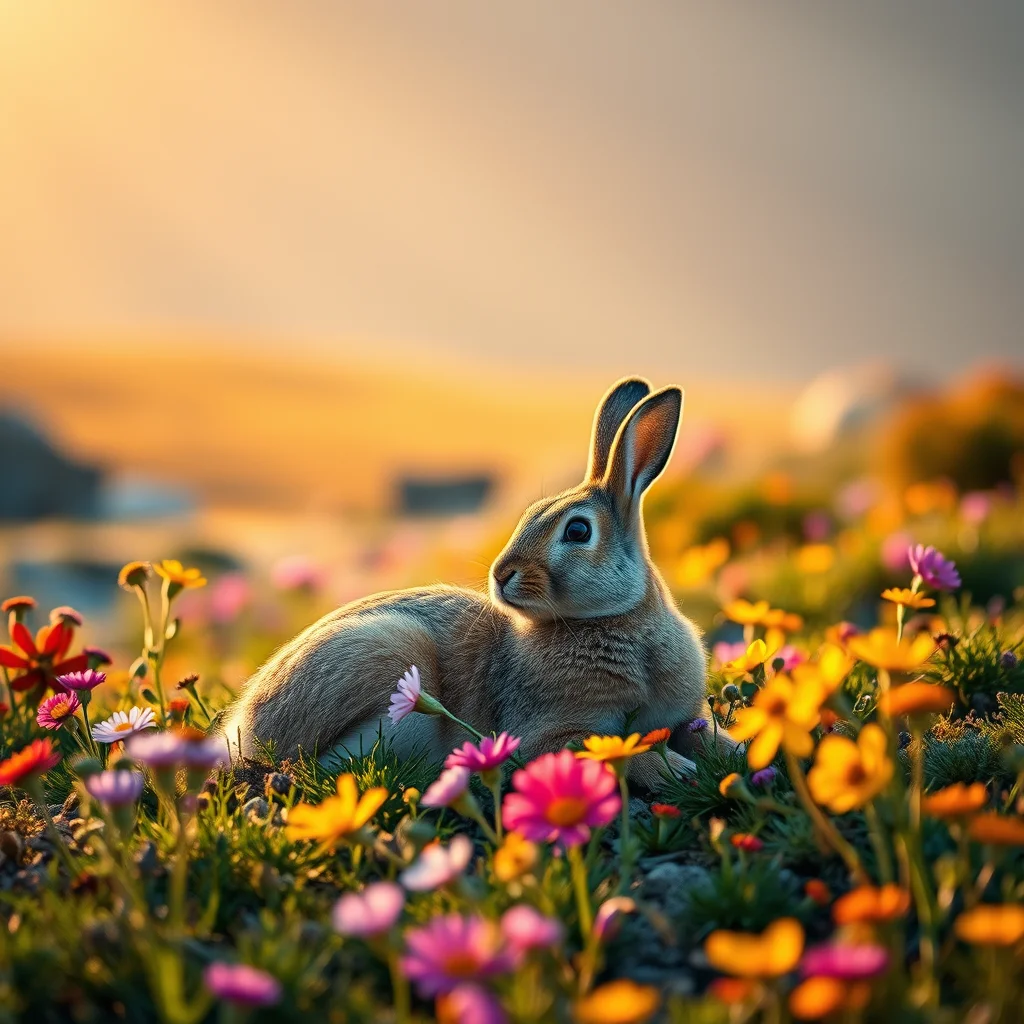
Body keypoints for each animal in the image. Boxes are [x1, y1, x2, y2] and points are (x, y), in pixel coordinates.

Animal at [222, 377, 731, 790]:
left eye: (577, 531)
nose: (500, 574)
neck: (618, 619)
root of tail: (245, 728)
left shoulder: (685, 720)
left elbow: (708, 736)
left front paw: (728, 755)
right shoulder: (548, 731)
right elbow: (606, 751)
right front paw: (673, 771)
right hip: (391, 653)